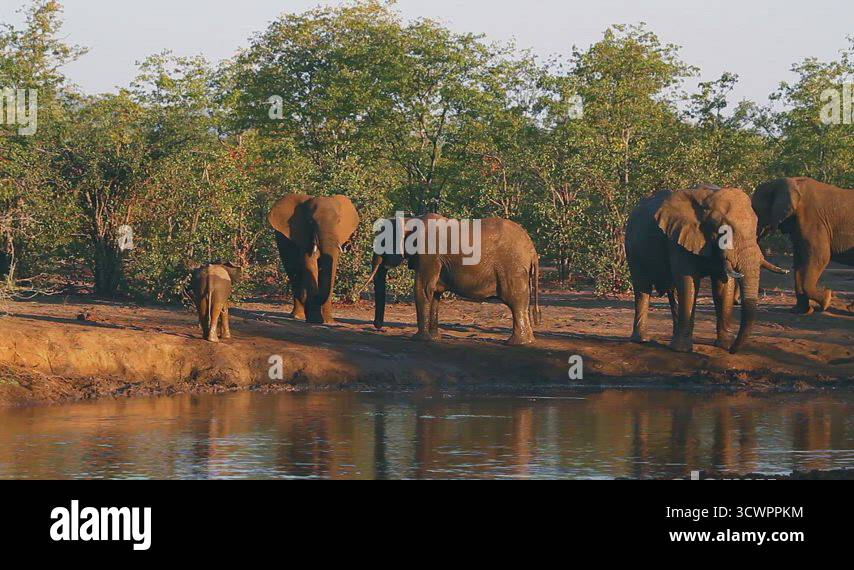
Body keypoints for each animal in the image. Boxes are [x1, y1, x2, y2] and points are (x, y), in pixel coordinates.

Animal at [269, 194, 359, 324]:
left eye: (338, 221)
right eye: (311, 222)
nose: (315, 297)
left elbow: (331, 269)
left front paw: (328, 322)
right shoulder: (304, 237)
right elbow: (310, 266)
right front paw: (315, 320)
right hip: (282, 243)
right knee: (294, 273)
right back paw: (297, 316)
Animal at [361, 214, 542, 345]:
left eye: (383, 242)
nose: (377, 326)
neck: (409, 220)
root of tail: (532, 250)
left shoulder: (428, 255)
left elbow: (423, 289)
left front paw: (419, 340)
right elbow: (434, 293)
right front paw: (434, 339)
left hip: (512, 267)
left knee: (516, 301)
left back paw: (516, 343)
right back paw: (525, 341)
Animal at [625, 186, 788, 354]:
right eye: (724, 230)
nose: (732, 351)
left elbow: (723, 287)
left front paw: (724, 345)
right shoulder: (678, 238)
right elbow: (688, 283)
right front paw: (682, 350)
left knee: (673, 291)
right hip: (632, 248)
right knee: (642, 288)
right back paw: (642, 340)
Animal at [752, 177, 854, 314]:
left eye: (756, 214)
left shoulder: (813, 220)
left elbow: (819, 257)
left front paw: (826, 299)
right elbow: (799, 259)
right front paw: (801, 311)